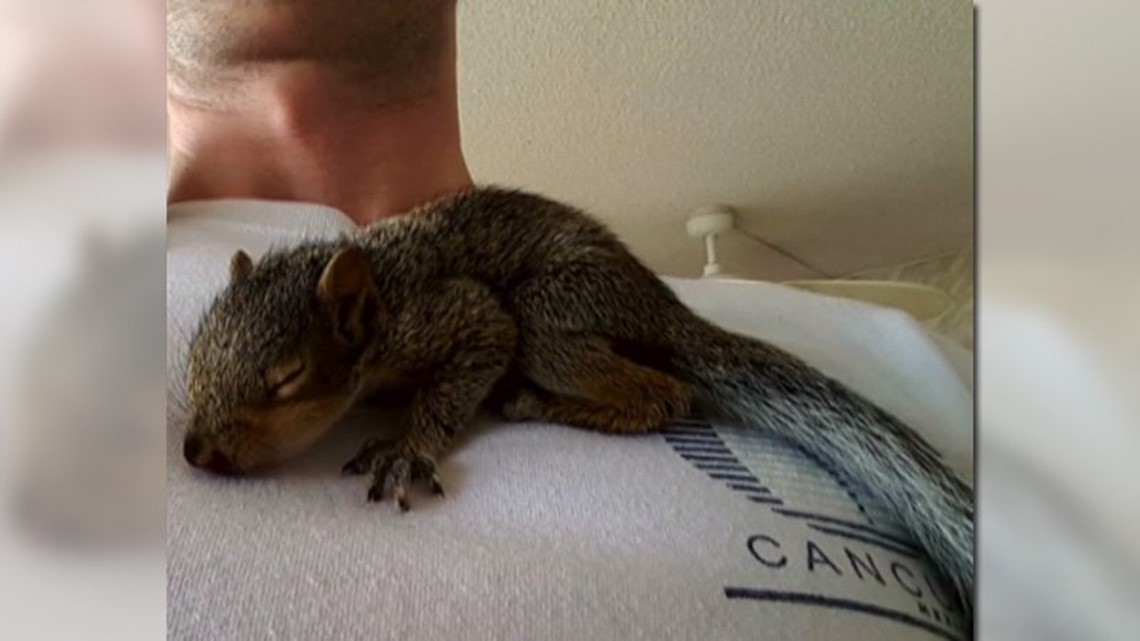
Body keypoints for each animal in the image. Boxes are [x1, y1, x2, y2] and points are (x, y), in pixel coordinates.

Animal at [184, 186, 974, 608]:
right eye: (192, 355)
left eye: (286, 377)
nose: (195, 452)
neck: (382, 299)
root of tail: (660, 306)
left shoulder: (459, 314)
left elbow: (477, 344)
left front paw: (406, 445)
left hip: (554, 312)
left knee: (666, 394)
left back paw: (541, 402)